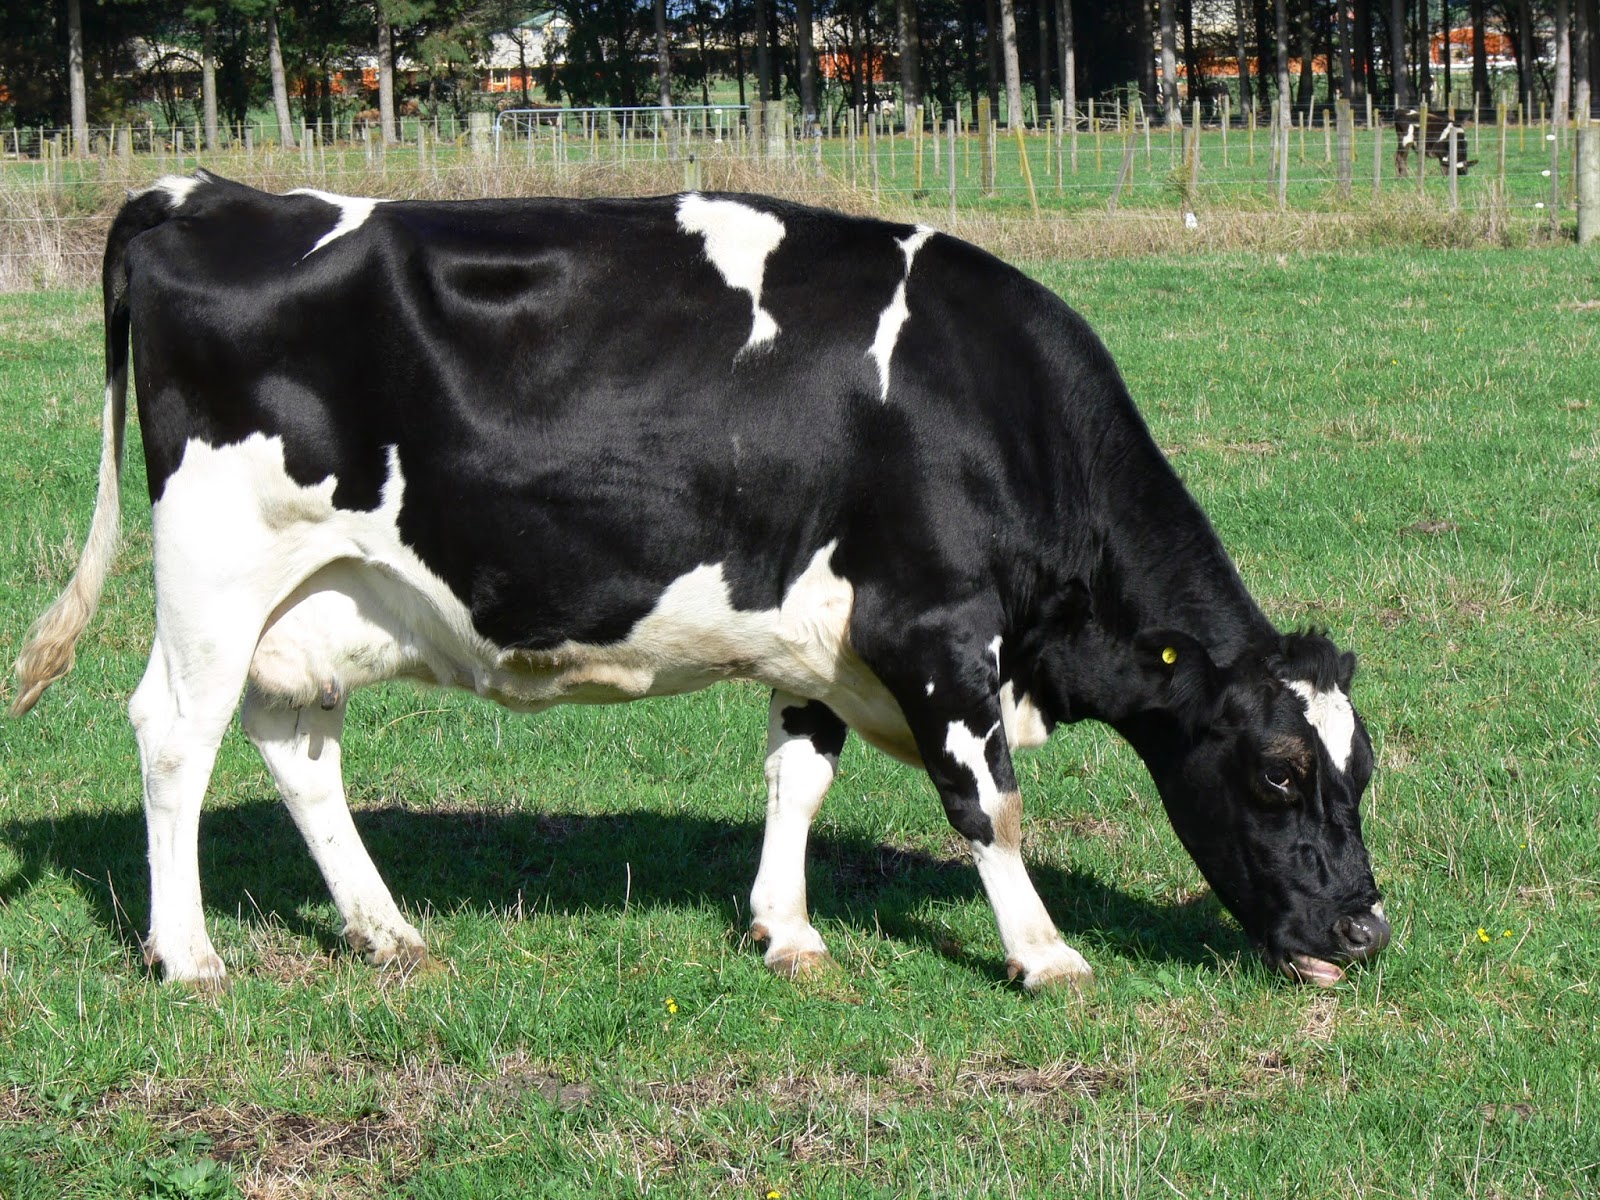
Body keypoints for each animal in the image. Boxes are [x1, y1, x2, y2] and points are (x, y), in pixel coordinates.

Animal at [10, 171, 1390, 991]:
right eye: (1277, 770)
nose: (1365, 930)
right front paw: (1044, 955)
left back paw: (382, 927)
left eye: (1360, 767)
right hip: (217, 565)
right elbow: (986, 802)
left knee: (294, 746)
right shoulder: (937, 625)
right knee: (174, 733)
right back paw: (188, 954)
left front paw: (787, 929)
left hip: (319, 594)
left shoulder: (819, 629)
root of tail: (208, 192)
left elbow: (798, 777)